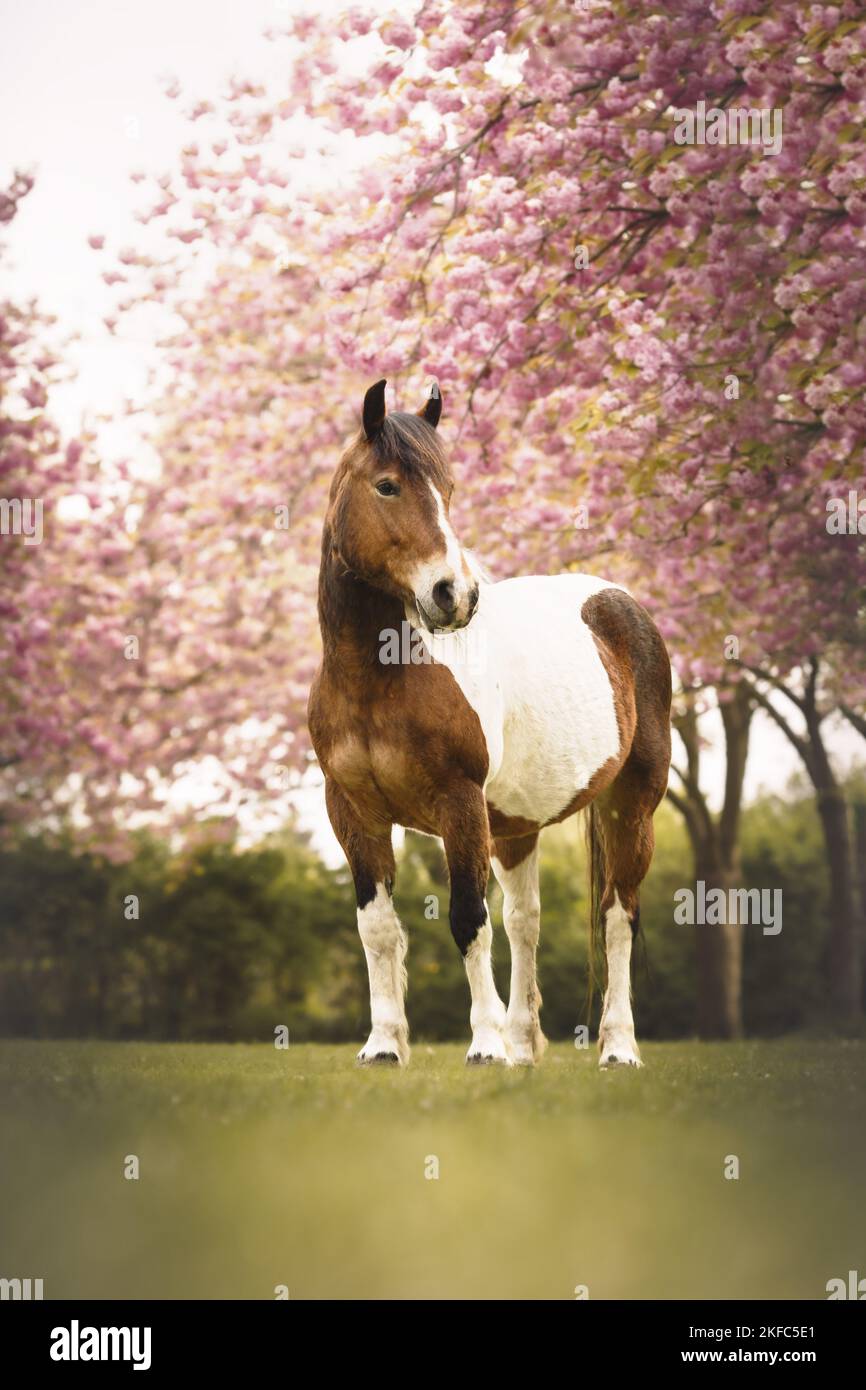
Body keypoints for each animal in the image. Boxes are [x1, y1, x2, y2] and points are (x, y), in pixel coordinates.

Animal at [308, 379, 672, 1068]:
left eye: (448, 489)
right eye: (387, 485)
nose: (455, 595)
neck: (379, 677)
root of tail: (620, 603)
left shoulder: (459, 803)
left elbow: (466, 918)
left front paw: (483, 1045)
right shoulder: (352, 810)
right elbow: (378, 928)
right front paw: (384, 1045)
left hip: (630, 805)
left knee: (618, 917)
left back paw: (617, 1047)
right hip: (515, 824)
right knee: (525, 921)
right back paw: (525, 1047)